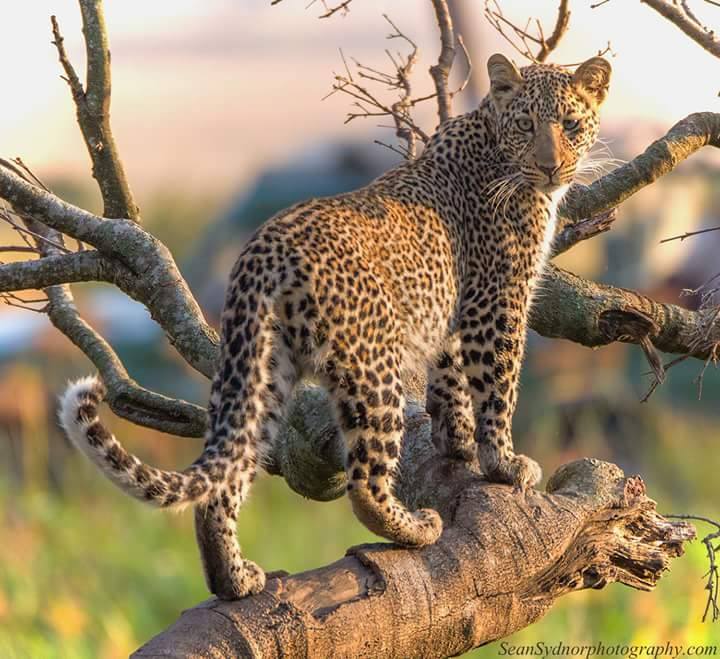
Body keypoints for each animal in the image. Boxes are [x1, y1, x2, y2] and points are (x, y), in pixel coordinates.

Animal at [59, 53, 611, 601]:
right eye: (527, 125)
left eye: (570, 124)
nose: (552, 165)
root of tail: (264, 250)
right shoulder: (496, 303)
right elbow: (498, 387)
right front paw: (503, 463)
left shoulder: (453, 313)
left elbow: (450, 377)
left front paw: (455, 440)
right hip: (373, 363)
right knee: (364, 482)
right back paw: (415, 529)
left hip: (261, 368)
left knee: (226, 477)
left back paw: (234, 580)